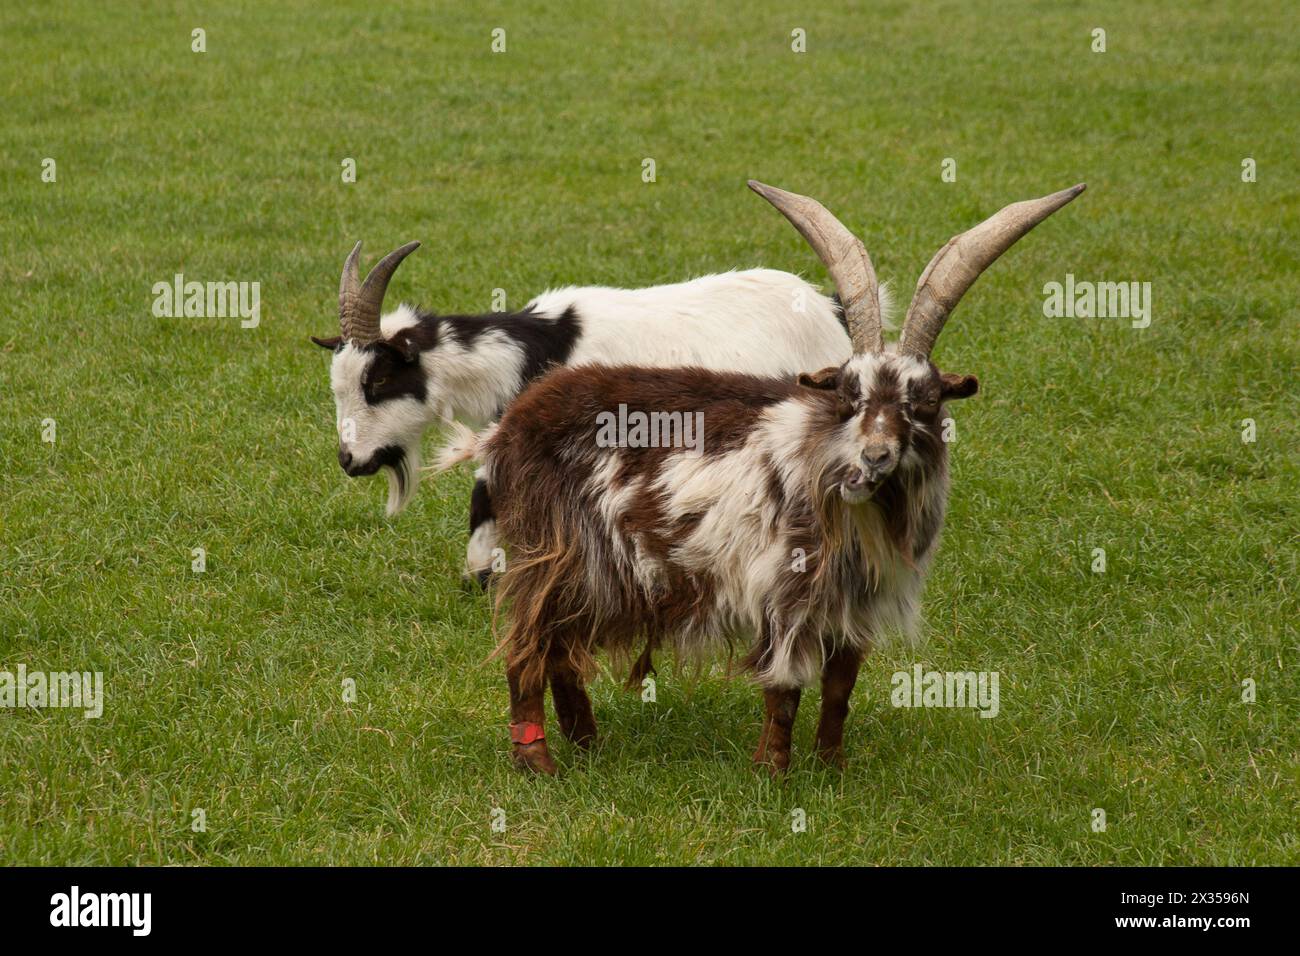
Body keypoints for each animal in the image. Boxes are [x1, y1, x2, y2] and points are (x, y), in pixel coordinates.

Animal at [311, 243, 863, 584]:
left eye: (377, 382)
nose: (348, 460)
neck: (539, 350)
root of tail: (829, 309)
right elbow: (486, 494)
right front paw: (481, 574)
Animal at [443, 180, 1084, 774]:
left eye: (924, 400)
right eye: (848, 393)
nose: (874, 456)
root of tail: (511, 423)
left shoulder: (855, 603)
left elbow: (840, 687)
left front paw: (831, 767)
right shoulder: (786, 584)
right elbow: (785, 687)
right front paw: (771, 774)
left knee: (561, 652)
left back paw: (588, 746)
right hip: (551, 553)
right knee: (527, 648)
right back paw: (539, 763)